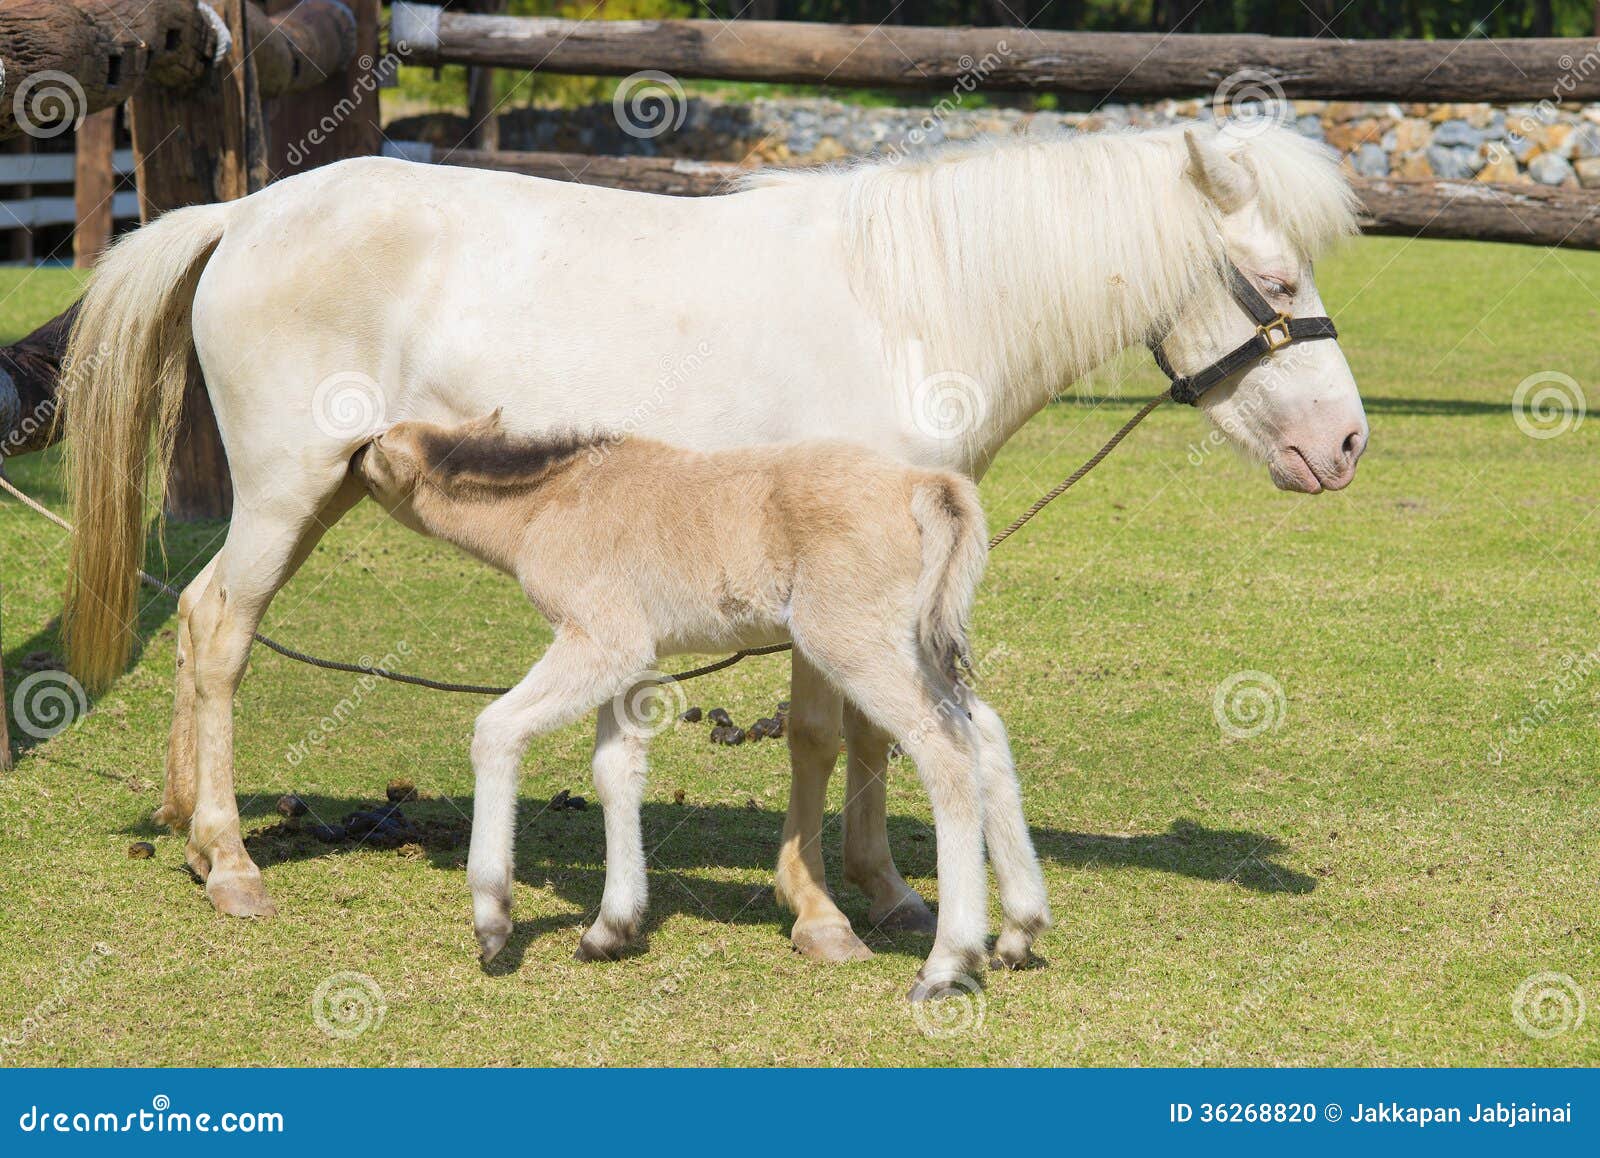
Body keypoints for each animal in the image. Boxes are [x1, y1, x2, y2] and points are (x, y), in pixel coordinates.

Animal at [355, 411, 1047, 996]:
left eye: (370, 449)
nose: (350, 463)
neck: (551, 503)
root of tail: (920, 483)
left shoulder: (600, 640)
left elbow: (495, 729)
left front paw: (493, 919)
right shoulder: (631, 661)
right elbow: (615, 771)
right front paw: (611, 929)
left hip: (852, 643)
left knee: (946, 750)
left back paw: (947, 962)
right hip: (917, 642)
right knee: (984, 732)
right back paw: (1018, 930)